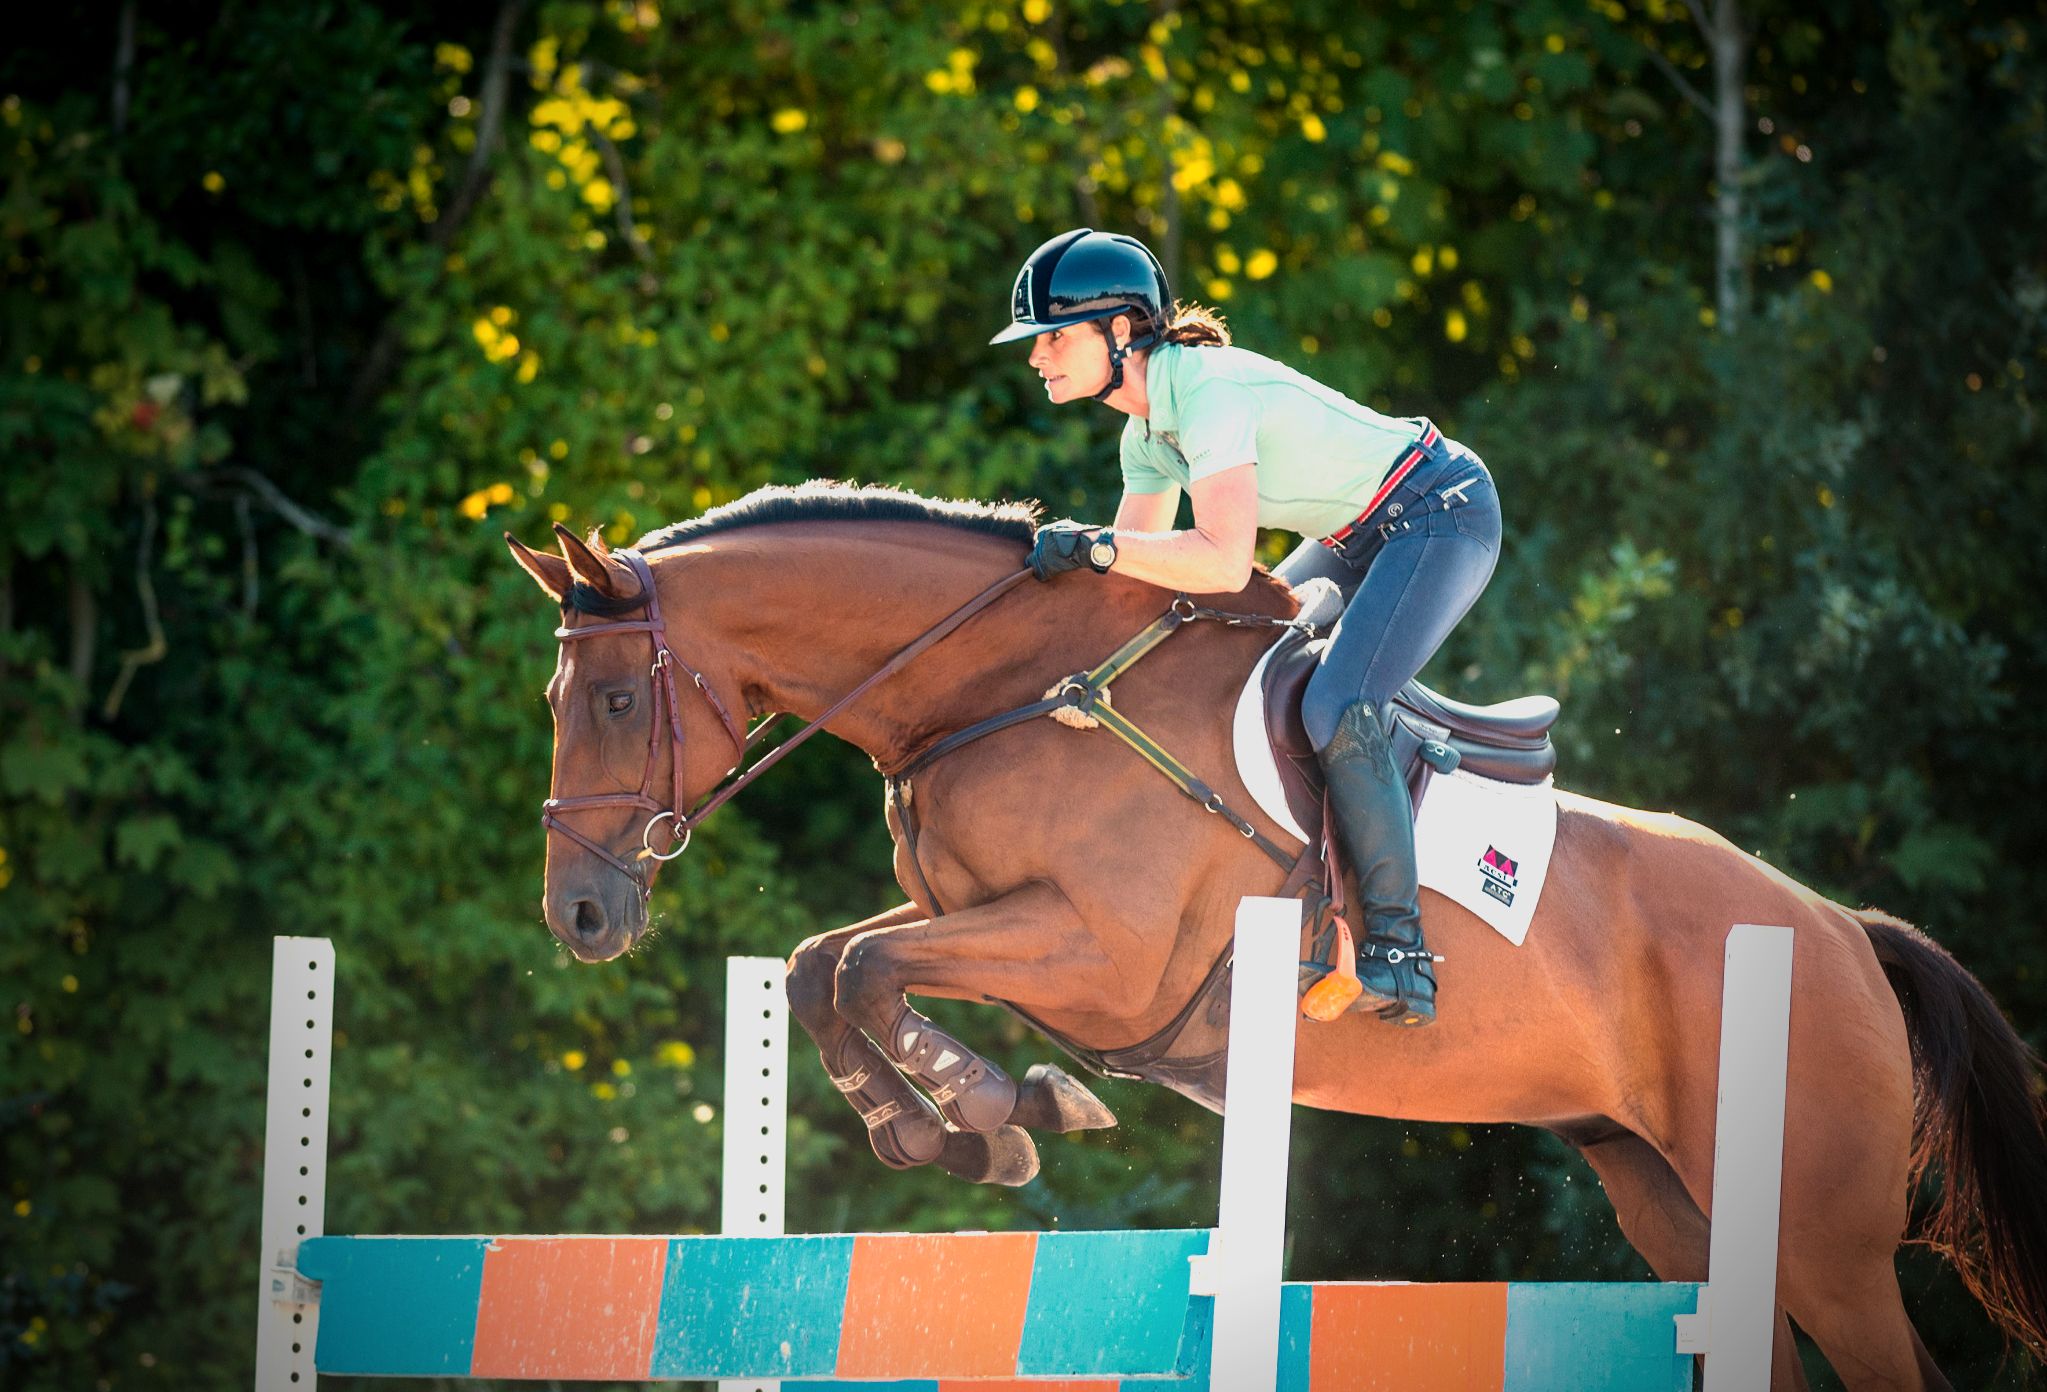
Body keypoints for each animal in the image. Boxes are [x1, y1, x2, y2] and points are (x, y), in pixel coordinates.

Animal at [505, 482, 2046, 1392]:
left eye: (617, 704)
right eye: (560, 701)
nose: (580, 916)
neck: (1006, 687)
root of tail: (1841, 932)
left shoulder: (1101, 955)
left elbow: (866, 967)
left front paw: (993, 1114)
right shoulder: (977, 917)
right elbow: (829, 966)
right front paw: (964, 1122)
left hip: (1822, 1238)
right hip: (1676, 1206)